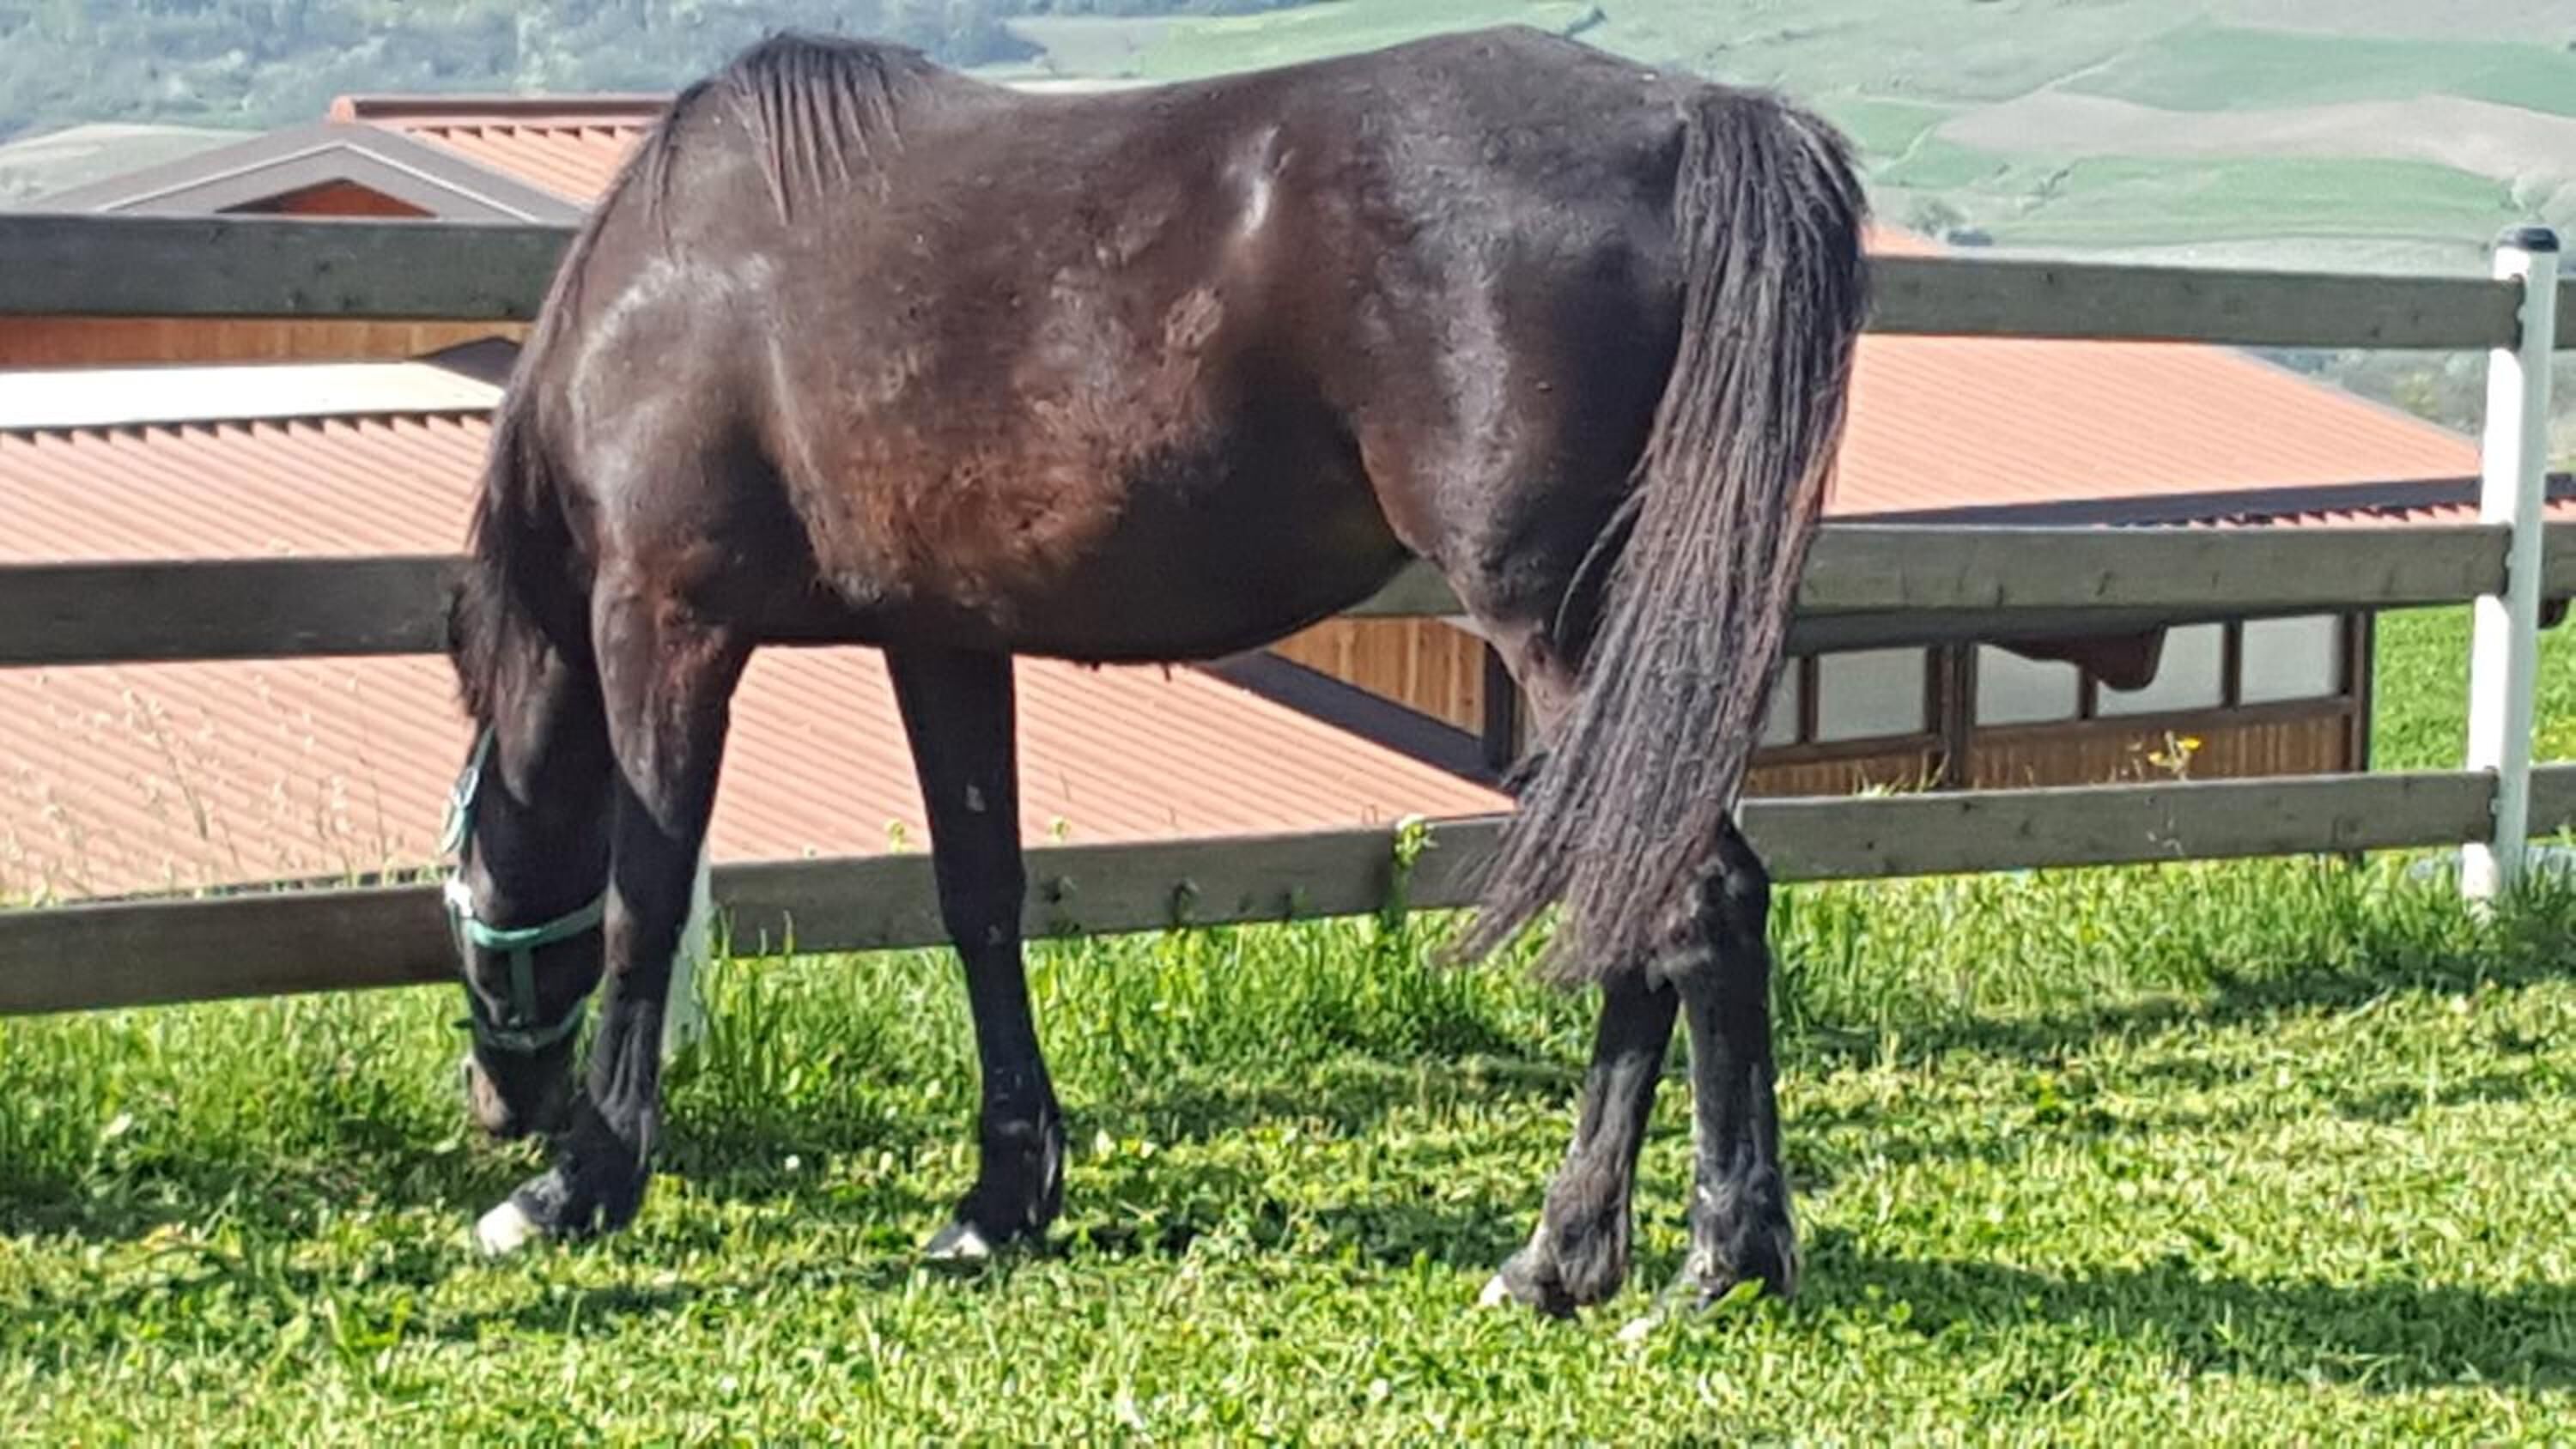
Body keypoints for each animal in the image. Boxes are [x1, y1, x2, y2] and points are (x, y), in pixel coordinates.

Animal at [439, 23, 1868, 1321]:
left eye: (458, 898)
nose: (499, 1107)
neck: (673, 277)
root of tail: (1691, 123)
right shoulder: (942, 639)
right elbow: (980, 901)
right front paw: (1001, 1198)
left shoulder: (662, 624)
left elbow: (643, 902)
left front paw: (579, 1186)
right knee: (1643, 903)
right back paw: (1563, 1257)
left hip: (1565, 629)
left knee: (1695, 903)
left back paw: (1715, 1262)